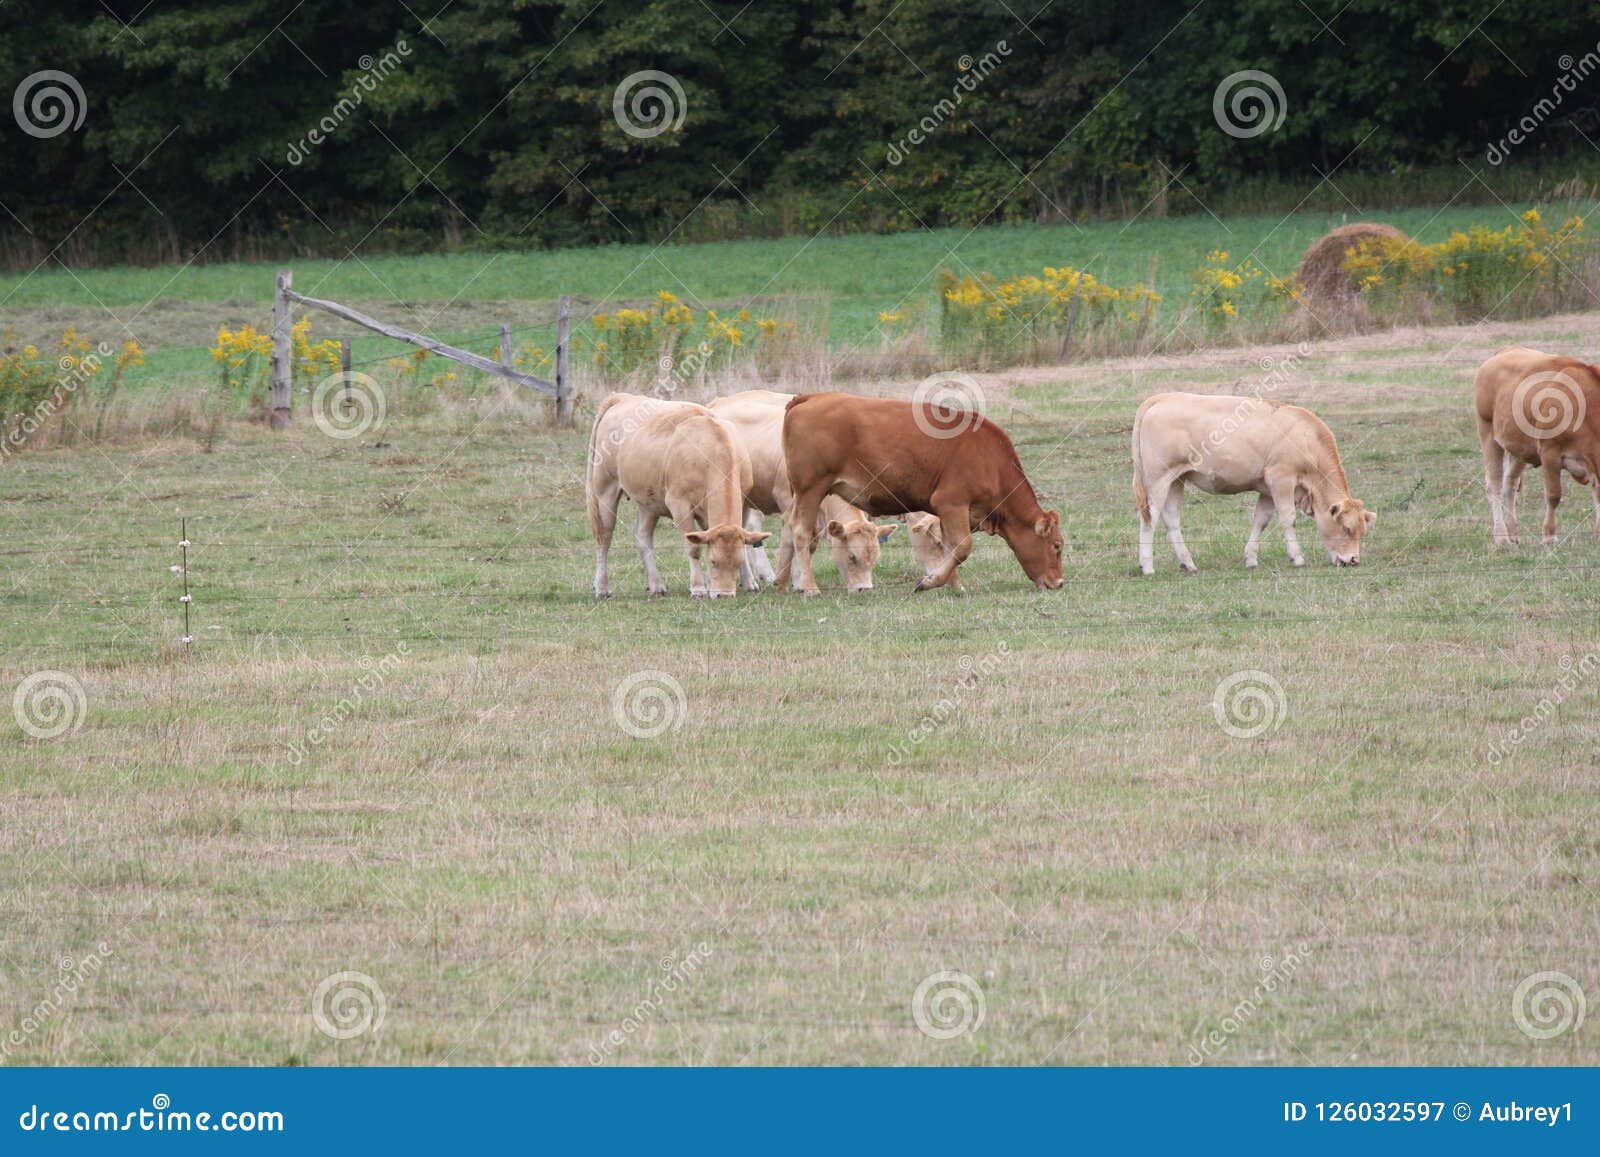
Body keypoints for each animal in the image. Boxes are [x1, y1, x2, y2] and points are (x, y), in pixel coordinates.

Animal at [587, 392, 768, 598]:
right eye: (713, 561)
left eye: (737, 563)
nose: (724, 595)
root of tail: (622, 397)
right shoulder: (679, 504)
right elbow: (693, 548)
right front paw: (698, 588)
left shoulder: (744, 502)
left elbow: (742, 544)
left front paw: (749, 581)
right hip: (605, 491)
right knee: (604, 538)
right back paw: (602, 587)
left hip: (649, 502)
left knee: (642, 537)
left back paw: (656, 584)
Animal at [708, 389, 897, 592]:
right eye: (852, 557)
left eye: (875, 559)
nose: (865, 588)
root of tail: (719, 402)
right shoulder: (789, 503)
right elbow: (794, 538)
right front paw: (799, 582)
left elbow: (809, 543)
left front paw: (799, 580)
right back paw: (753, 579)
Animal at [780, 392, 1064, 594]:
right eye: (1057, 546)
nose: (1059, 582)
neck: (990, 460)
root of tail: (812, 397)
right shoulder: (952, 503)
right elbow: (962, 547)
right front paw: (930, 582)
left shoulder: (951, 513)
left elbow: (950, 547)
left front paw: (953, 585)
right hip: (811, 488)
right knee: (801, 532)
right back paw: (809, 587)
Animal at [1131, 391, 1375, 573]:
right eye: (1346, 528)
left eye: (1362, 531)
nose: (1353, 560)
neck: (1307, 439)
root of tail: (1162, 397)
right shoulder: (1281, 478)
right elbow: (1288, 518)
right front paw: (1297, 558)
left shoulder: (1267, 488)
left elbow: (1261, 521)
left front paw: (1250, 559)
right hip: (1158, 479)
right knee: (1149, 518)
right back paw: (1147, 566)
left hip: (1176, 480)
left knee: (1171, 519)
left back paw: (1188, 563)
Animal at [1474, 346, 1600, 546]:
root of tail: (1506, 350)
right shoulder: (1550, 453)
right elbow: (1554, 495)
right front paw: (1549, 535)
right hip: (1487, 433)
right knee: (1494, 485)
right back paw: (1502, 538)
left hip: (1519, 449)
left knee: (1510, 484)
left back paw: (1513, 533)